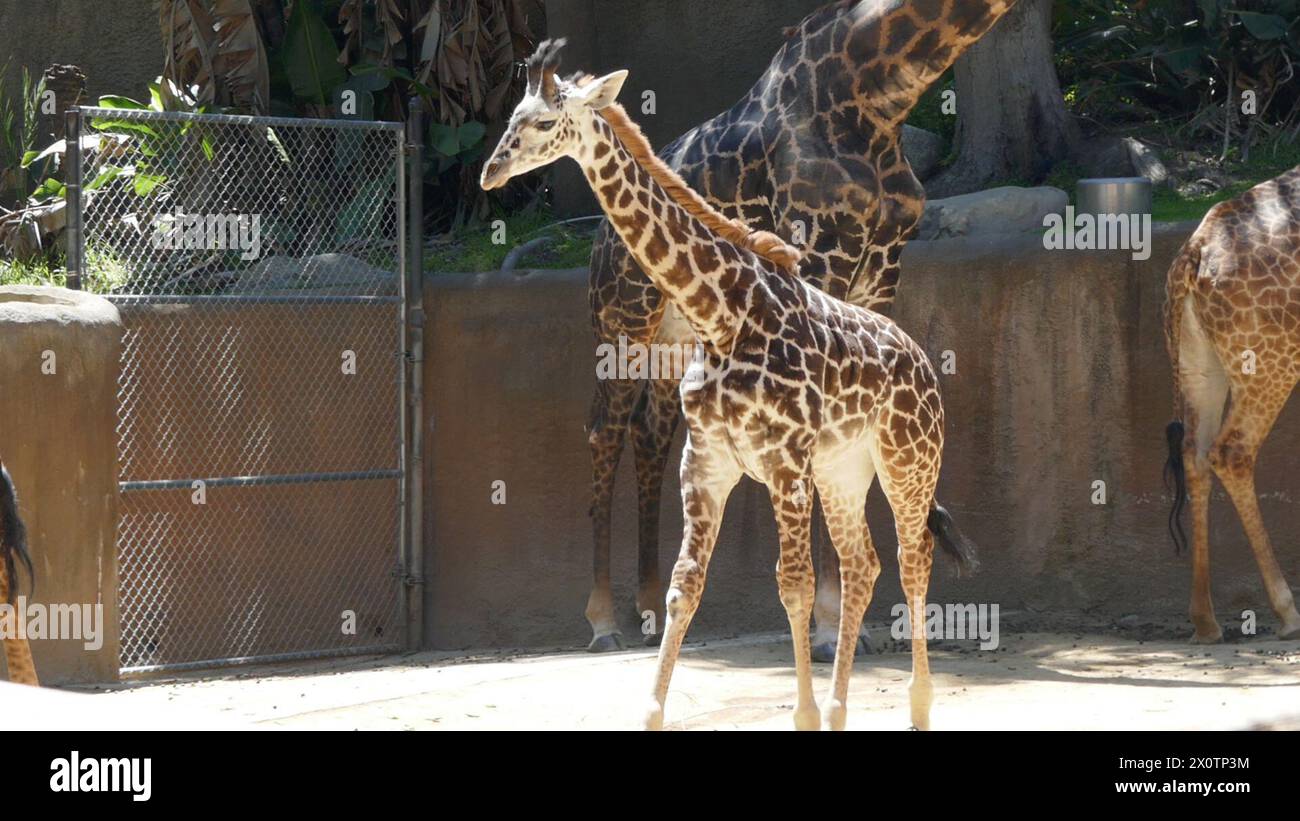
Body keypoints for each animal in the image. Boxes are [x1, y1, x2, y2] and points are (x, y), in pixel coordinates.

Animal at [483, 40, 977, 730]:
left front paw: (801, 713)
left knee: (912, 561)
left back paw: (917, 706)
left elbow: (792, 585)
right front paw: (652, 711)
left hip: (909, 462)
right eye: (511, 118)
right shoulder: (708, 461)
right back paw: (840, 708)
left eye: (542, 122)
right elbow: (684, 586)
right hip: (844, 470)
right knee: (863, 564)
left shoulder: (784, 463)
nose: (490, 173)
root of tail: (924, 363)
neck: (722, 313)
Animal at [582, 0, 1017, 655]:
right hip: (624, 315)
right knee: (604, 432)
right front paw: (830, 630)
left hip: (676, 335)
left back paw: (650, 610)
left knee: (650, 432)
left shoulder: (882, 272)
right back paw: (603, 620)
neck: (877, 96)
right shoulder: (818, 252)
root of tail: (598, 238)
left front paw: (853, 626)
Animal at [1164, 165, 1300, 645]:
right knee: (1232, 452)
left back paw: (1205, 620)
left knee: (1195, 454)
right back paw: (1287, 613)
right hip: (1270, 363)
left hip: (1199, 365)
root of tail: (1193, 254)